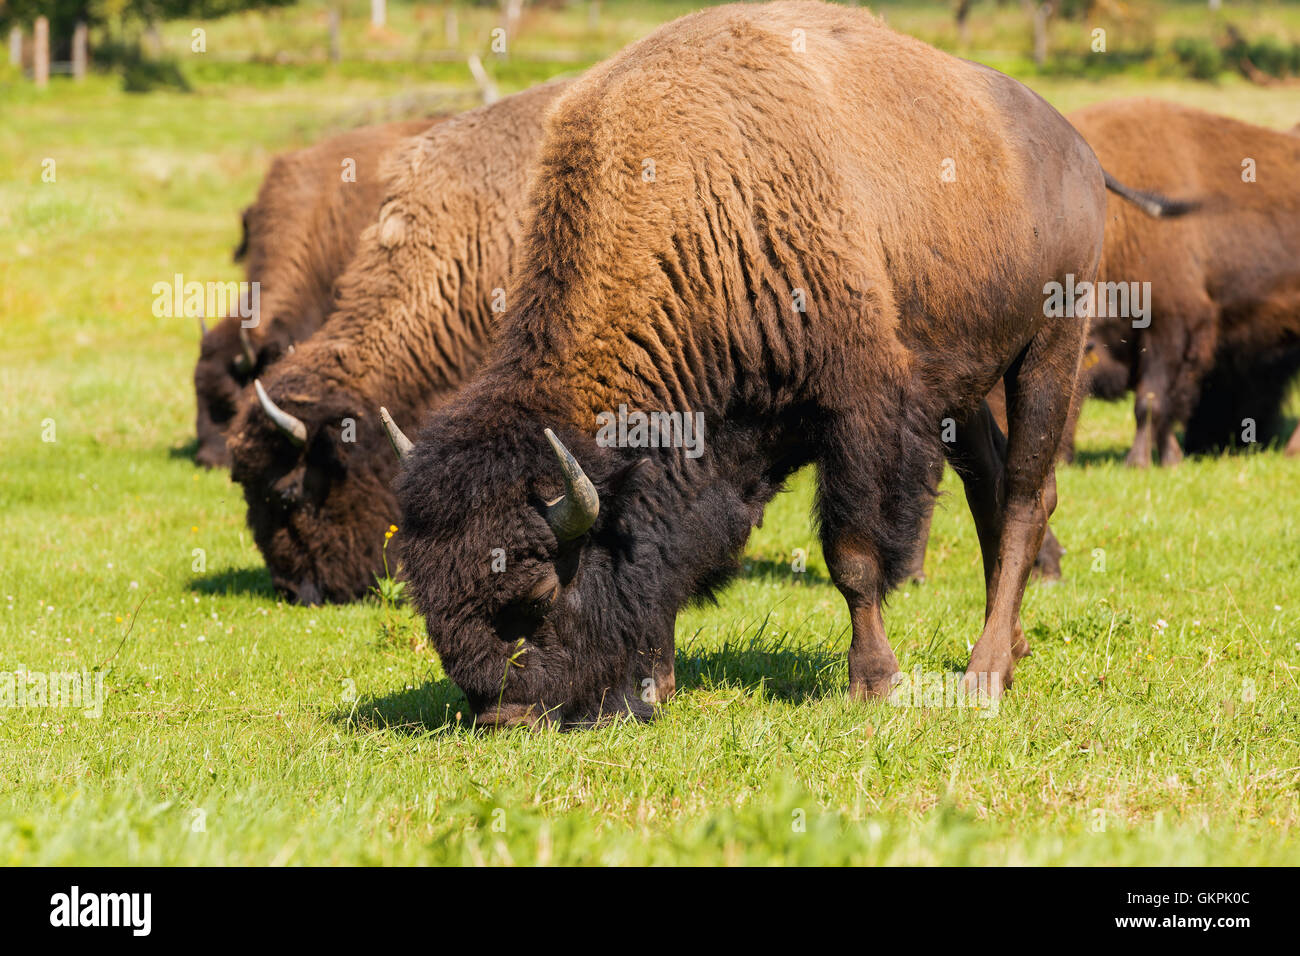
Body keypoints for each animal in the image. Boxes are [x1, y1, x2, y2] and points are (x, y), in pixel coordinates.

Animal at [392, 1, 1185, 727]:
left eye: (536, 596)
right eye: (427, 605)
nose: (503, 716)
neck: (693, 205)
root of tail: (1075, 147)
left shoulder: (859, 414)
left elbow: (852, 554)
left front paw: (873, 683)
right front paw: (658, 682)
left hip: (1049, 346)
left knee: (1025, 496)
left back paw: (984, 675)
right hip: (960, 383)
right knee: (989, 489)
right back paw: (1011, 648)